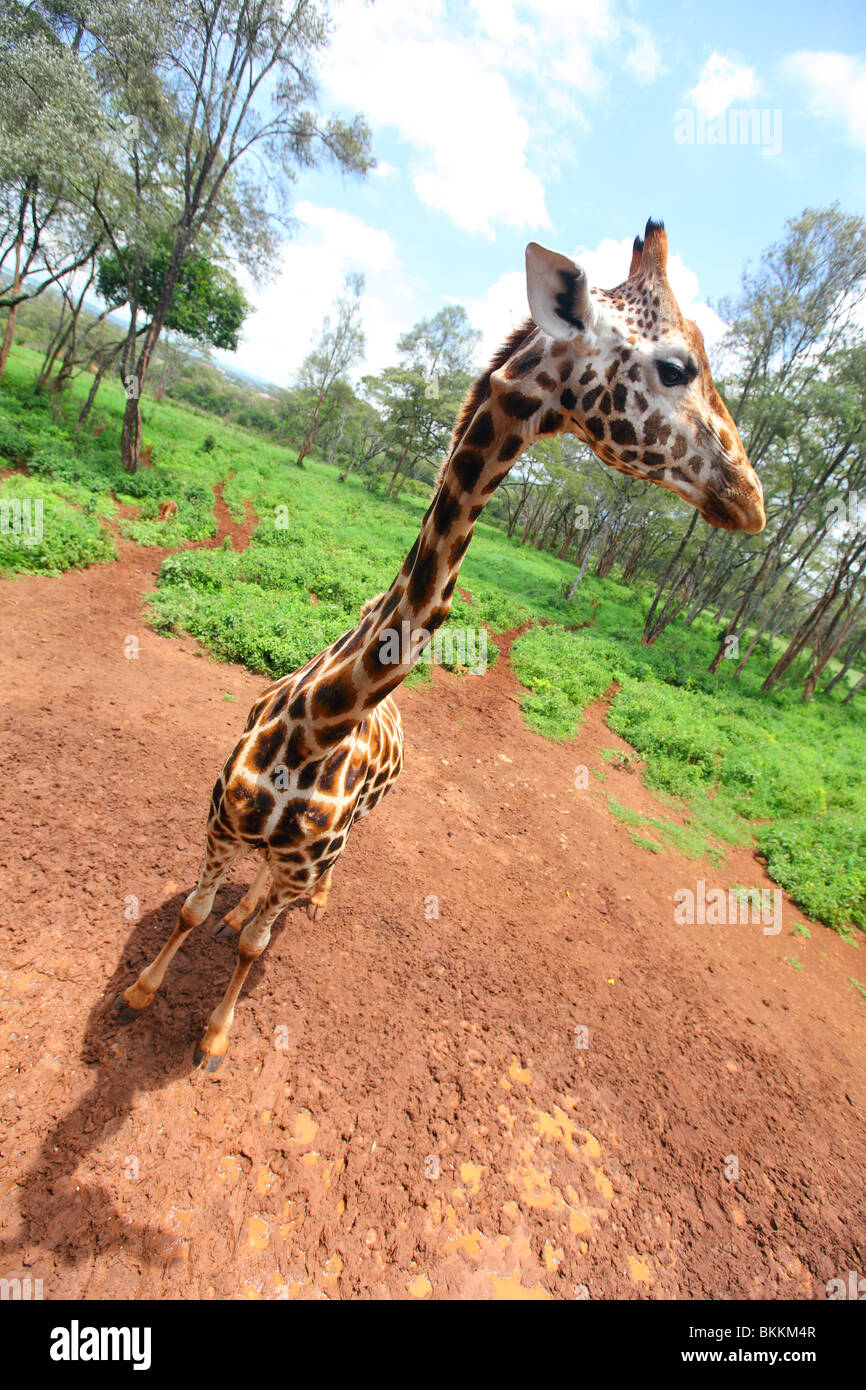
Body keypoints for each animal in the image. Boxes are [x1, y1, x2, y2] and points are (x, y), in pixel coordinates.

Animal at [114, 219, 765, 1071]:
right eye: (677, 365)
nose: (751, 497)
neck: (322, 724)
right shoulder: (218, 823)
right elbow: (191, 913)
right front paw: (138, 993)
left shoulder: (302, 855)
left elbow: (254, 947)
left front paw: (216, 1035)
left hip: (342, 843)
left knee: (291, 900)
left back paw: (295, 908)